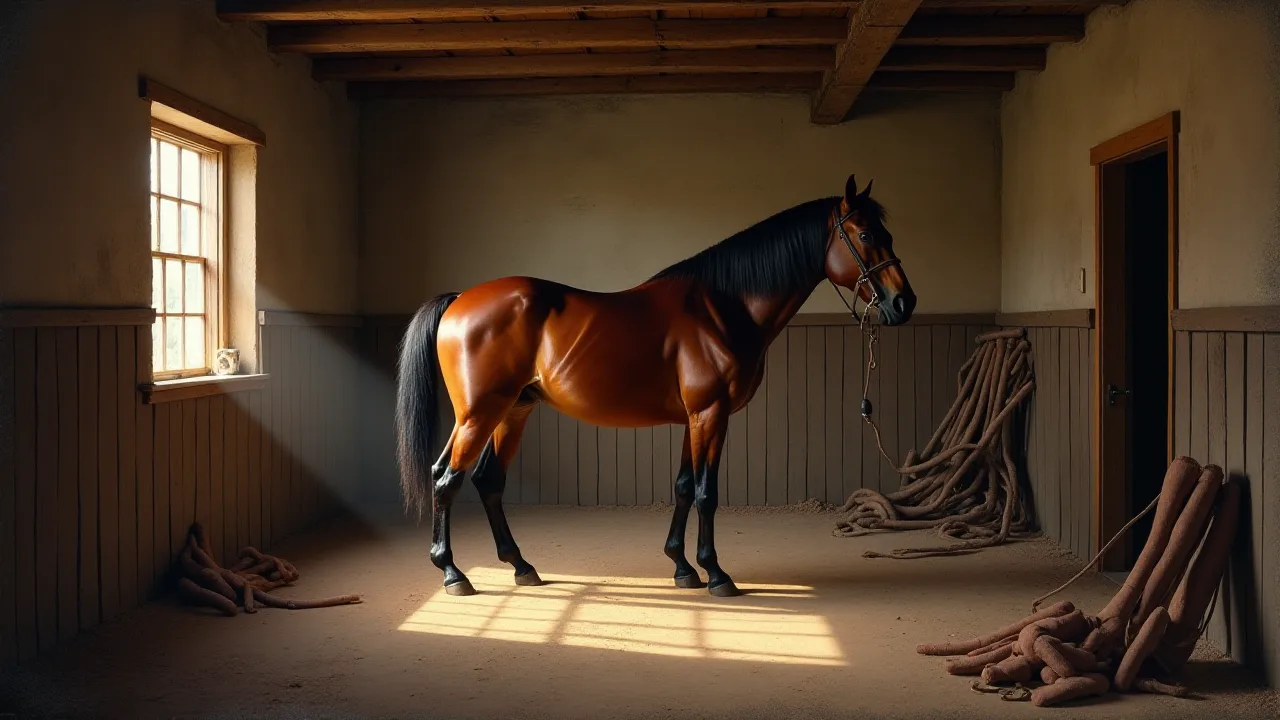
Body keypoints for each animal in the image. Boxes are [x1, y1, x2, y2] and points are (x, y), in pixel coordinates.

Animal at [395, 174, 915, 598]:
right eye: (865, 234)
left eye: (887, 232)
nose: (903, 302)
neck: (723, 308)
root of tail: (460, 299)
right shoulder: (711, 413)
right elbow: (706, 492)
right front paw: (716, 574)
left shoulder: (695, 418)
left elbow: (683, 486)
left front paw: (682, 567)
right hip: (479, 413)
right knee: (446, 478)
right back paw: (454, 574)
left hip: (513, 411)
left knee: (487, 480)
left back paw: (522, 566)